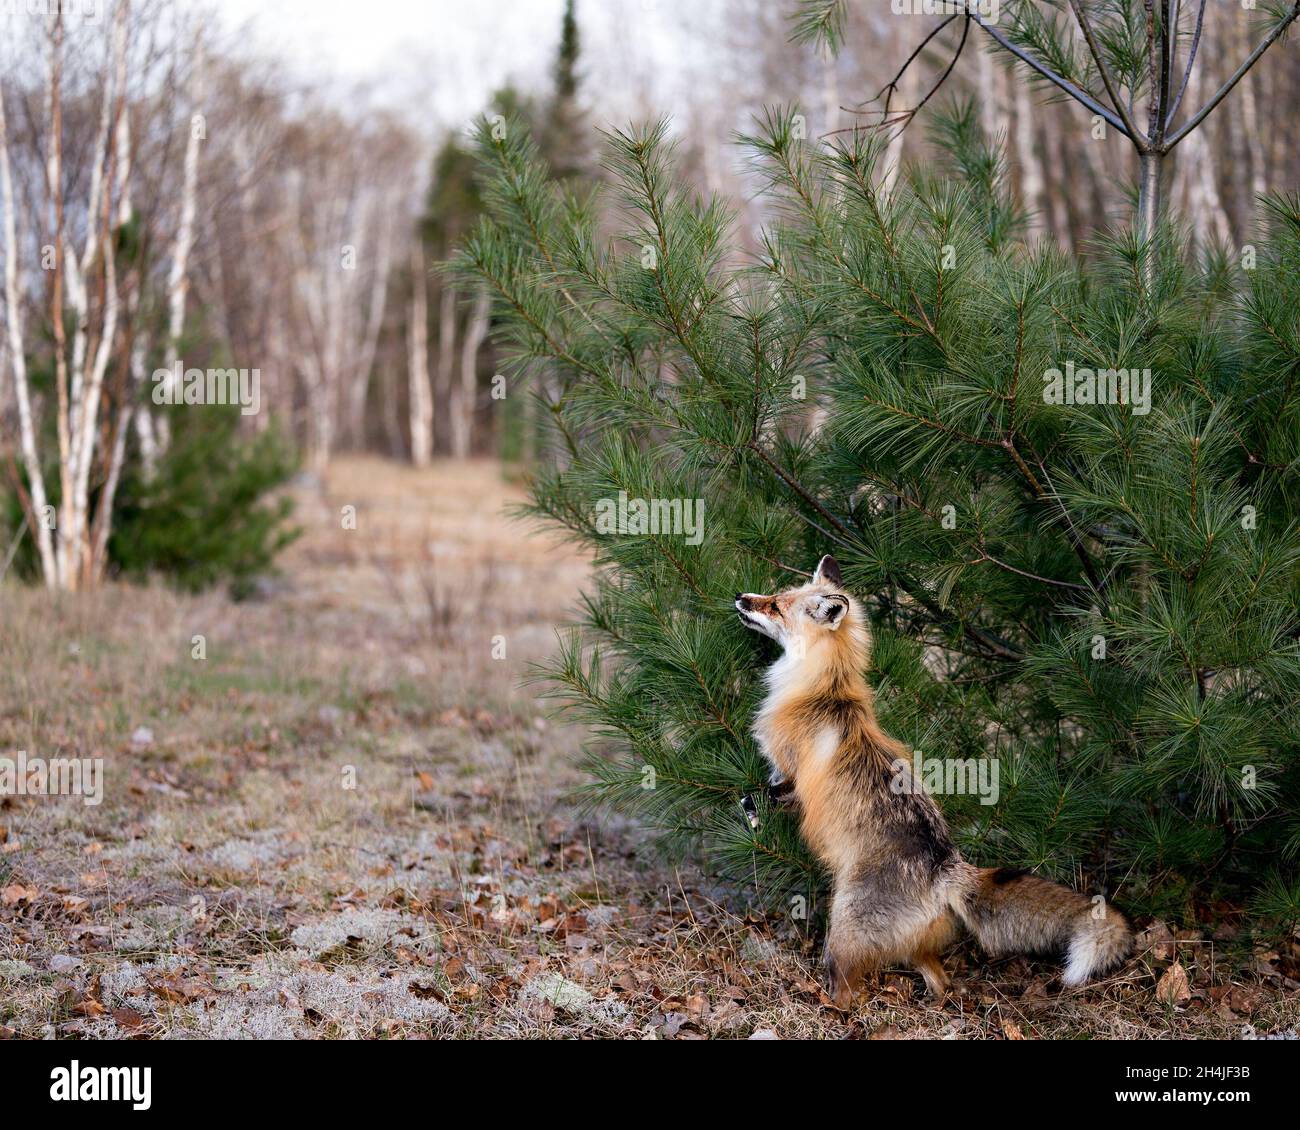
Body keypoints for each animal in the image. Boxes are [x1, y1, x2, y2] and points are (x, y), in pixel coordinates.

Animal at [735, 554, 1132, 1005]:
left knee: (847, 992)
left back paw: (825, 1005)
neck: (823, 691)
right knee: (940, 983)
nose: (741, 597)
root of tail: (947, 865)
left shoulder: (791, 775)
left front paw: (753, 810)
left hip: (843, 933)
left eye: (775, 605)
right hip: (915, 948)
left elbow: (771, 792)